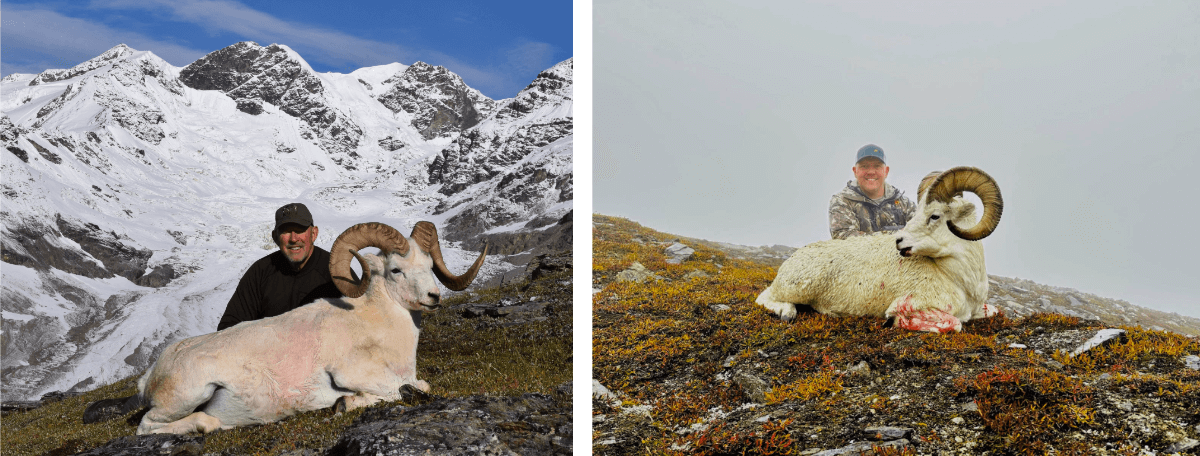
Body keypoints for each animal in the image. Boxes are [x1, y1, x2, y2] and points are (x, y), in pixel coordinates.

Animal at [134, 221, 486, 435]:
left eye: (429, 266)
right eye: (396, 270)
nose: (433, 297)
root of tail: (151, 376)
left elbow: (415, 385)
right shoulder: (350, 374)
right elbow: (404, 389)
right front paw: (345, 404)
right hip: (190, 393)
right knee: (148, 426)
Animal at [756, 167, 1003, 333]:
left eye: (935, 215)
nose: (899, 241)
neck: (960, 281)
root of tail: (792, 259)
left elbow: (993, 311)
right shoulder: (913, 303)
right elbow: (955, 324)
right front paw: (893, 321)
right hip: (795, 289)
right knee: (765, 297)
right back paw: (787, 313)